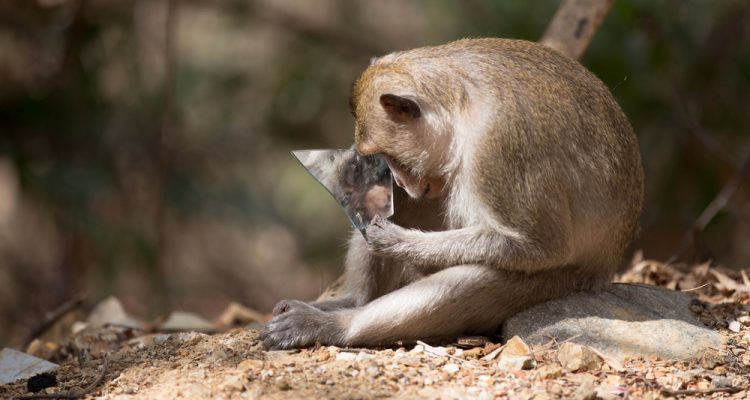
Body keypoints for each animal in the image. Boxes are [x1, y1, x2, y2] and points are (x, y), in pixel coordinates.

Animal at [261, 38, 644, 350]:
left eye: (389, 157)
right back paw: (355, 301)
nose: (398, 181)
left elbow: (542, 246)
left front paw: (398, 241)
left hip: (563, 281)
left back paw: (334, 325)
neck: (460, 106)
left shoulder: (497, 147)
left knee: (480, 275)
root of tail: (607, 267)